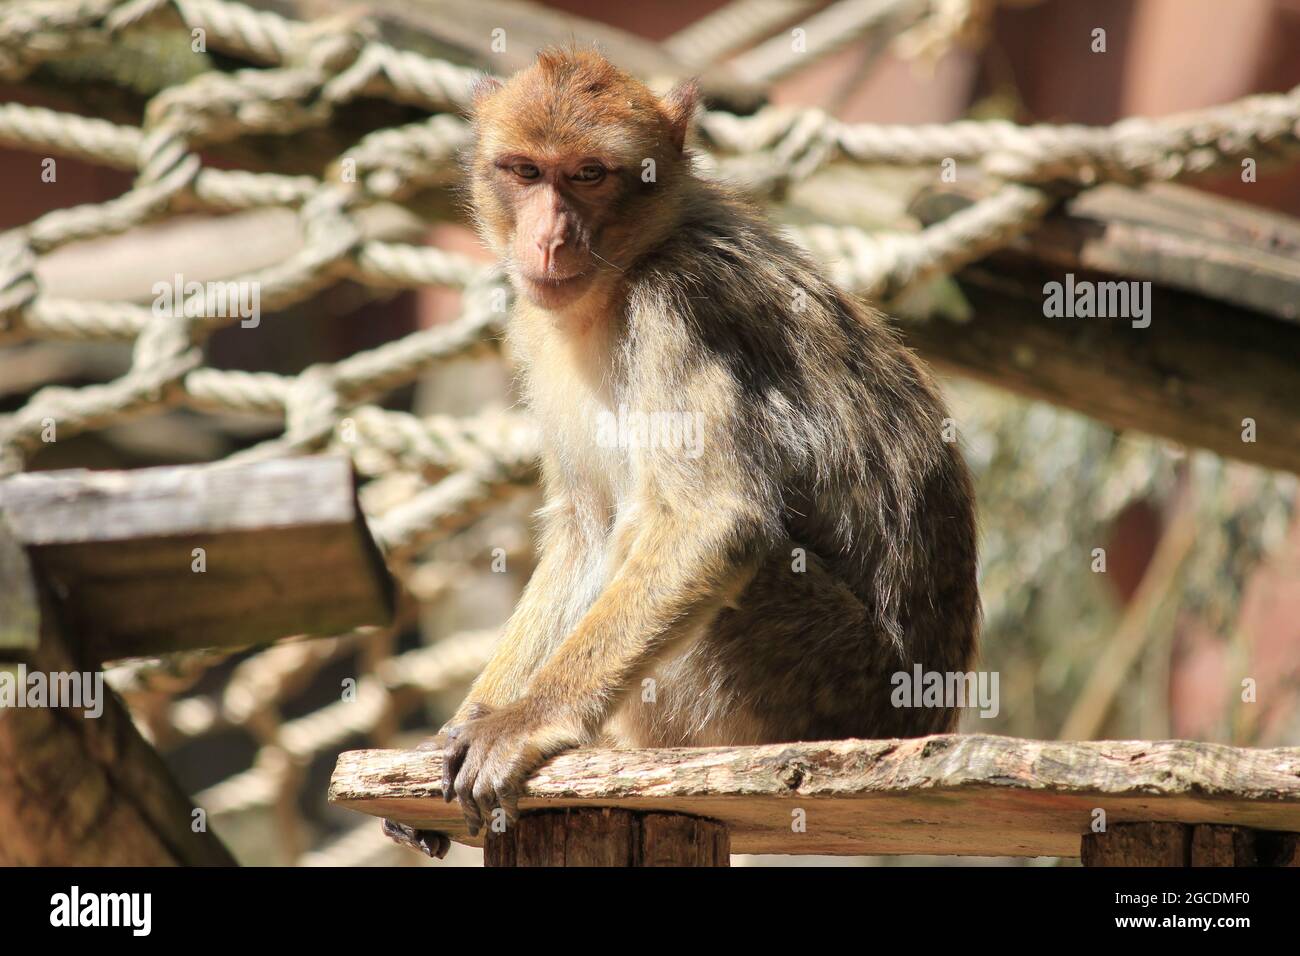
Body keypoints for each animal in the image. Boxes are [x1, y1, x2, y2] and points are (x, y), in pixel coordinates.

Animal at [430, 48, 979, 837]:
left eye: (589, 174)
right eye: (528, 172)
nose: (550, 238)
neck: (623, 274)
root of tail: (920, 721)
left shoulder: (676, 302)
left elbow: (715, 522)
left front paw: (524, 719)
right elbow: (584, 531)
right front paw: (471, 716)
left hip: (818, 686)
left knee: (656, 526)